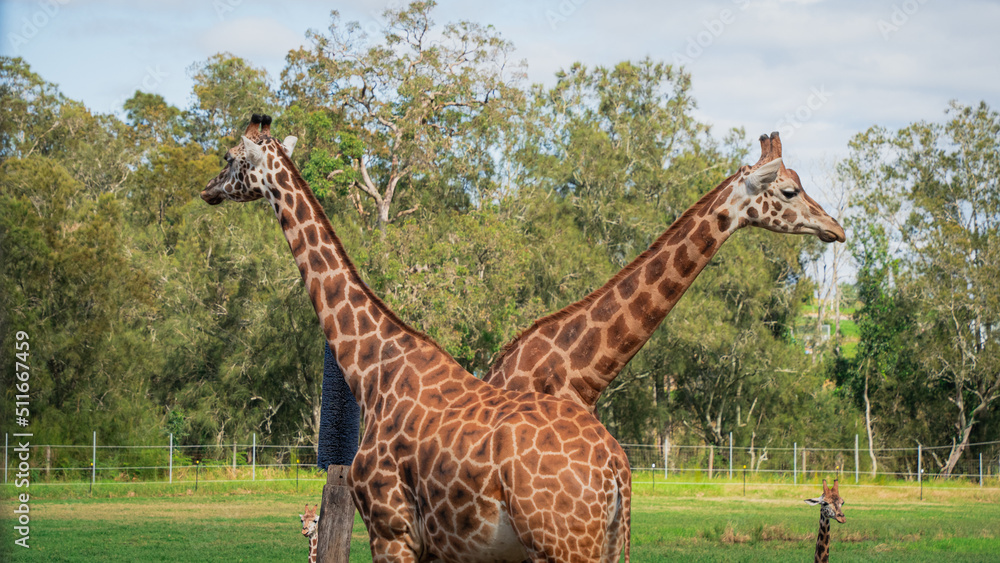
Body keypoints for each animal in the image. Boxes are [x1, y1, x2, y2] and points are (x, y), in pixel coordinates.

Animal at [201, 114, 631, 563]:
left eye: (229, 157)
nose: (207, 189)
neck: (371, 369)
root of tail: (616, 466)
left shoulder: (390, 527)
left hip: (562, 545)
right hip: (600, 544)